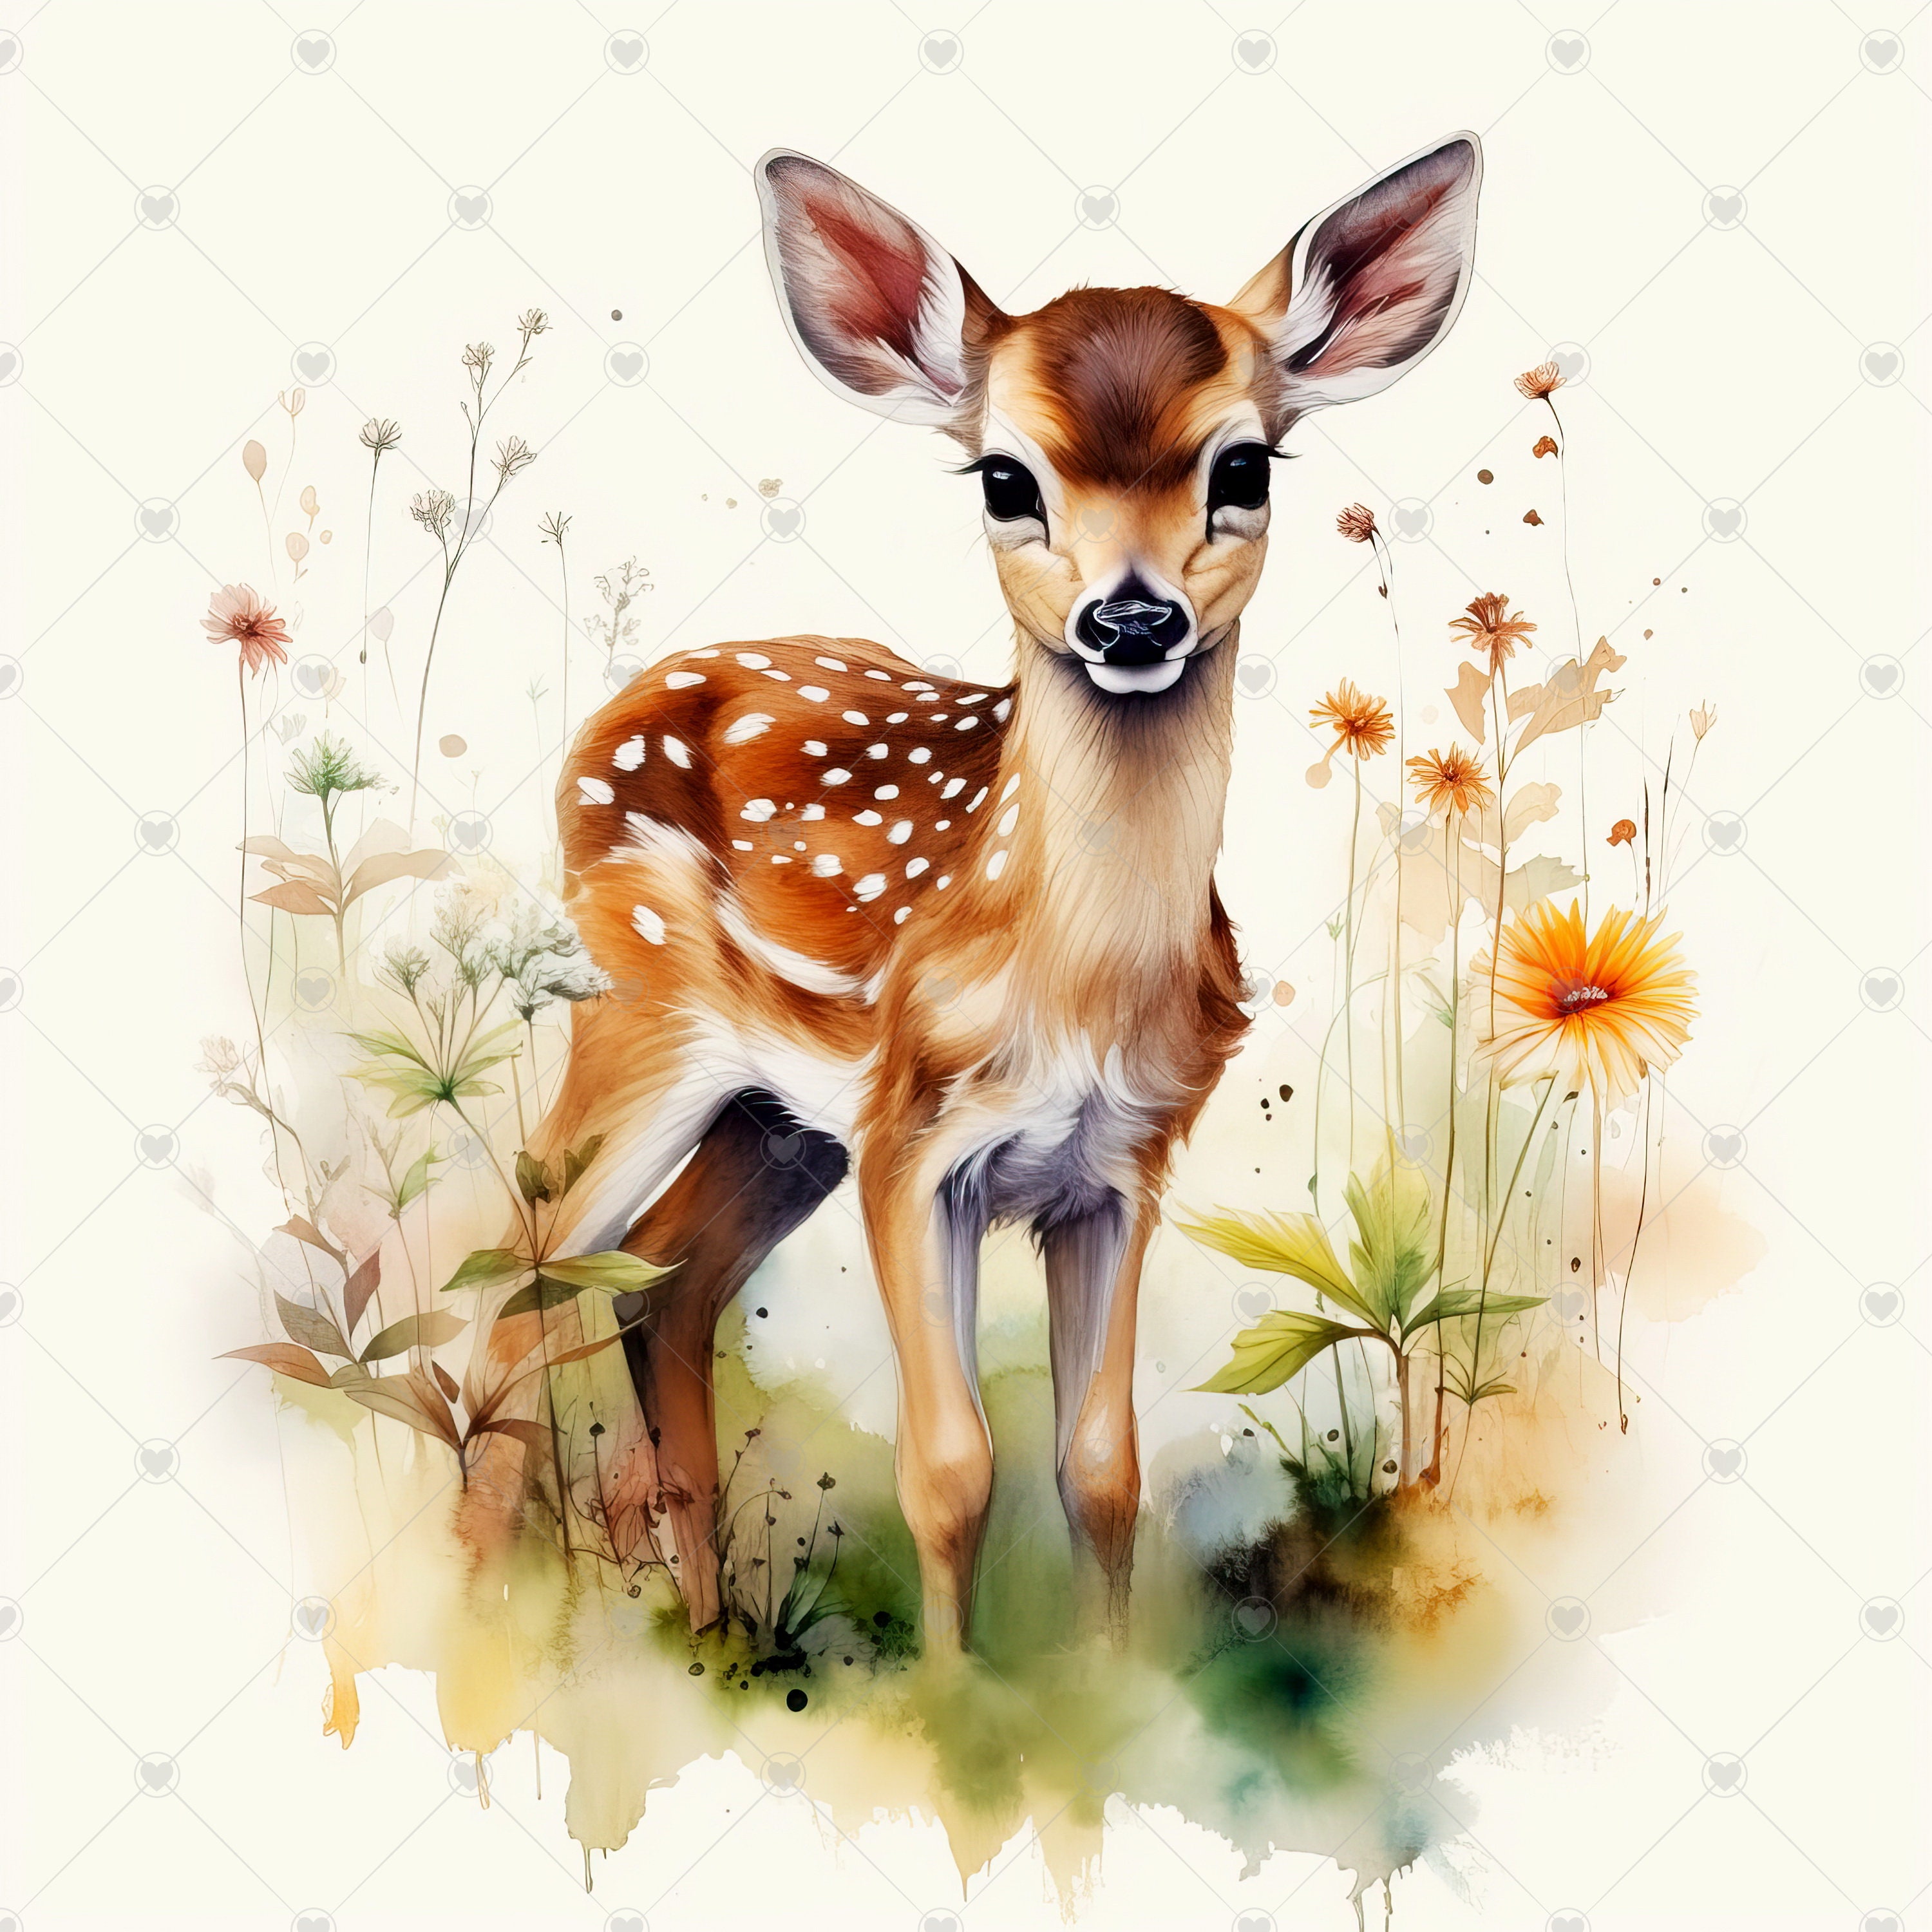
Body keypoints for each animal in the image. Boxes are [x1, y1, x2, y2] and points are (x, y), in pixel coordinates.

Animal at [459, 134, 1483, 1652]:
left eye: (1244, 462)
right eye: (1005, 479)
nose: (1134, 617)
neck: (1074, 986)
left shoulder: (1119, 1165)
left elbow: (1101, 1469)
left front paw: (1103, 1689)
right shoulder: (914, 1138)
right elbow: (948, 1470)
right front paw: (954, 1702)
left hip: (777, 1123)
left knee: (664, 1289)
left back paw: (710, 1637)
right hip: (638, 1018)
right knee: (518, 1282)